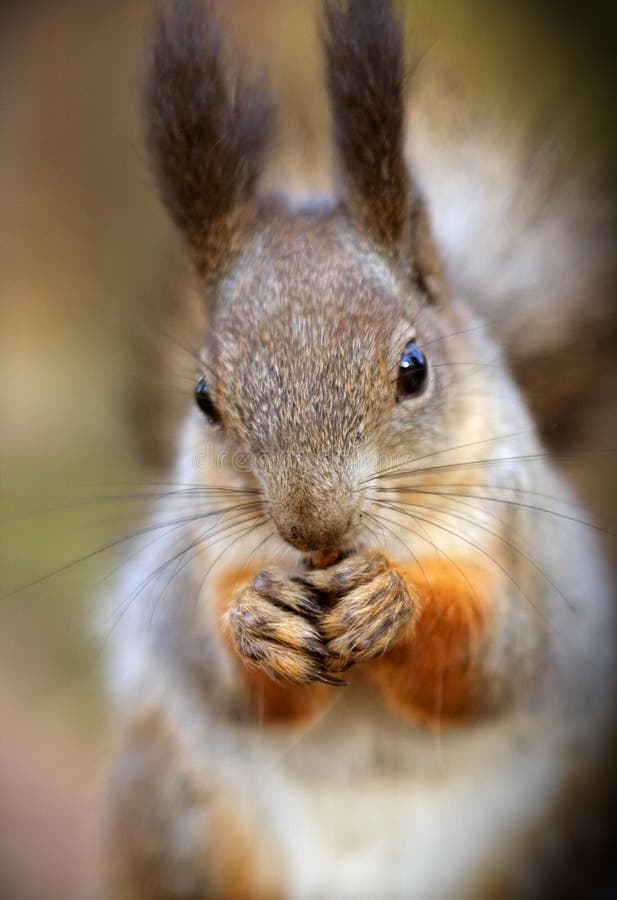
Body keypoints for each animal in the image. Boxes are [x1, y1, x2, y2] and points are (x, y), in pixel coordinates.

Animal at [103, 2, 616, 898]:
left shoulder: (532, 553)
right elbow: (216, 673)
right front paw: (257, 621)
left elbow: (495, 656)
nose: (313, 527)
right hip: (179, 816)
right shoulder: (184, 565)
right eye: (203, 398)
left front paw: (394, 602)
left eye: (414, 369)